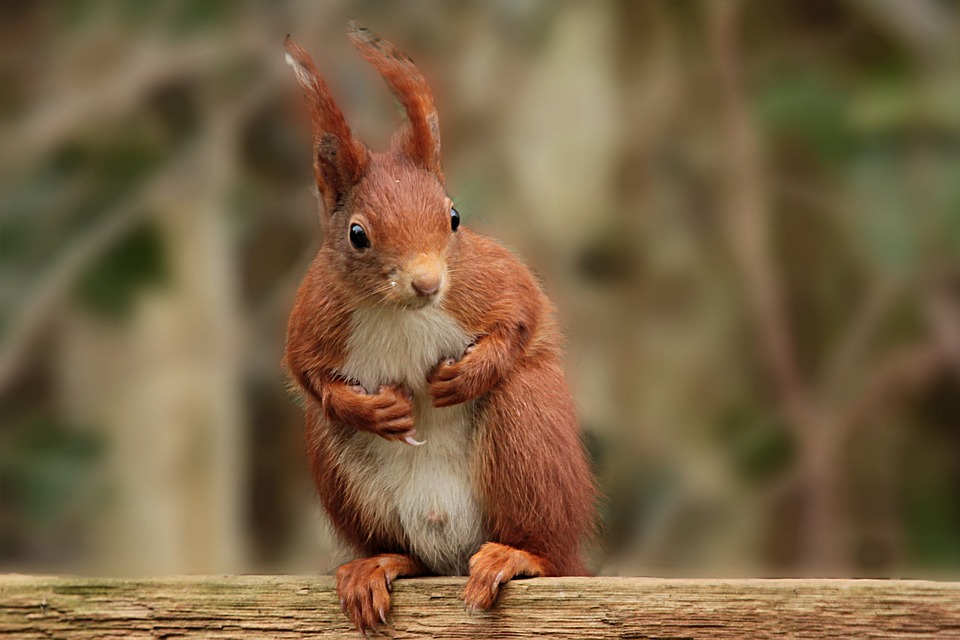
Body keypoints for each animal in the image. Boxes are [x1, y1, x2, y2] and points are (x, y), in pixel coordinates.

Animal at [283, 22, 596, 633]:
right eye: (357, 234)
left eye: (454, 217)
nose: (428, 283)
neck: (401, 311)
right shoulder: (313, 316)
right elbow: (309, 376)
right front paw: (374, 409)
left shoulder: (490, 278)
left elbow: (522, 315)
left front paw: (467, 375)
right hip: (342, 472)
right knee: (408, 553)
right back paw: (379, 564)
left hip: (527, 432)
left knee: (545, 546)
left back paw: (520, 555)